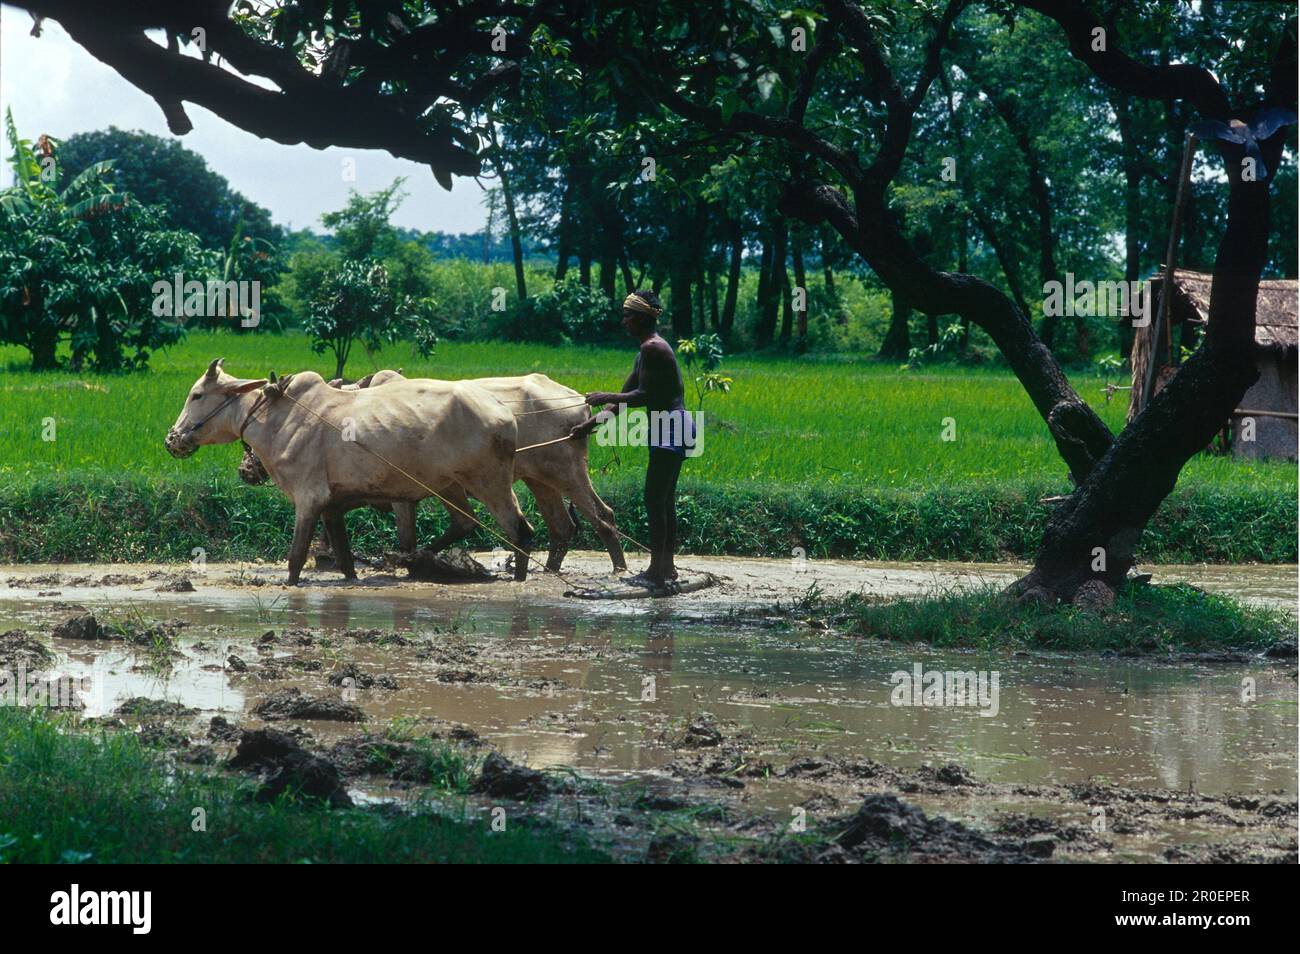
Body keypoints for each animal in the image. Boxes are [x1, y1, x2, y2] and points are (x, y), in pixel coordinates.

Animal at [165, 358, 535, 584]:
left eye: (197, 394)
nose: (172, 439)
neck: (275, 418)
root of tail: (503, 411)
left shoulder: (308, 499)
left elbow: (296, 558)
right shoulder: (332, 507)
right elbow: (344, 561)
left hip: (490, 482)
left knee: (519, 531)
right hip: (450, 485)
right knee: (467, 523)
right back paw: (416, 558)